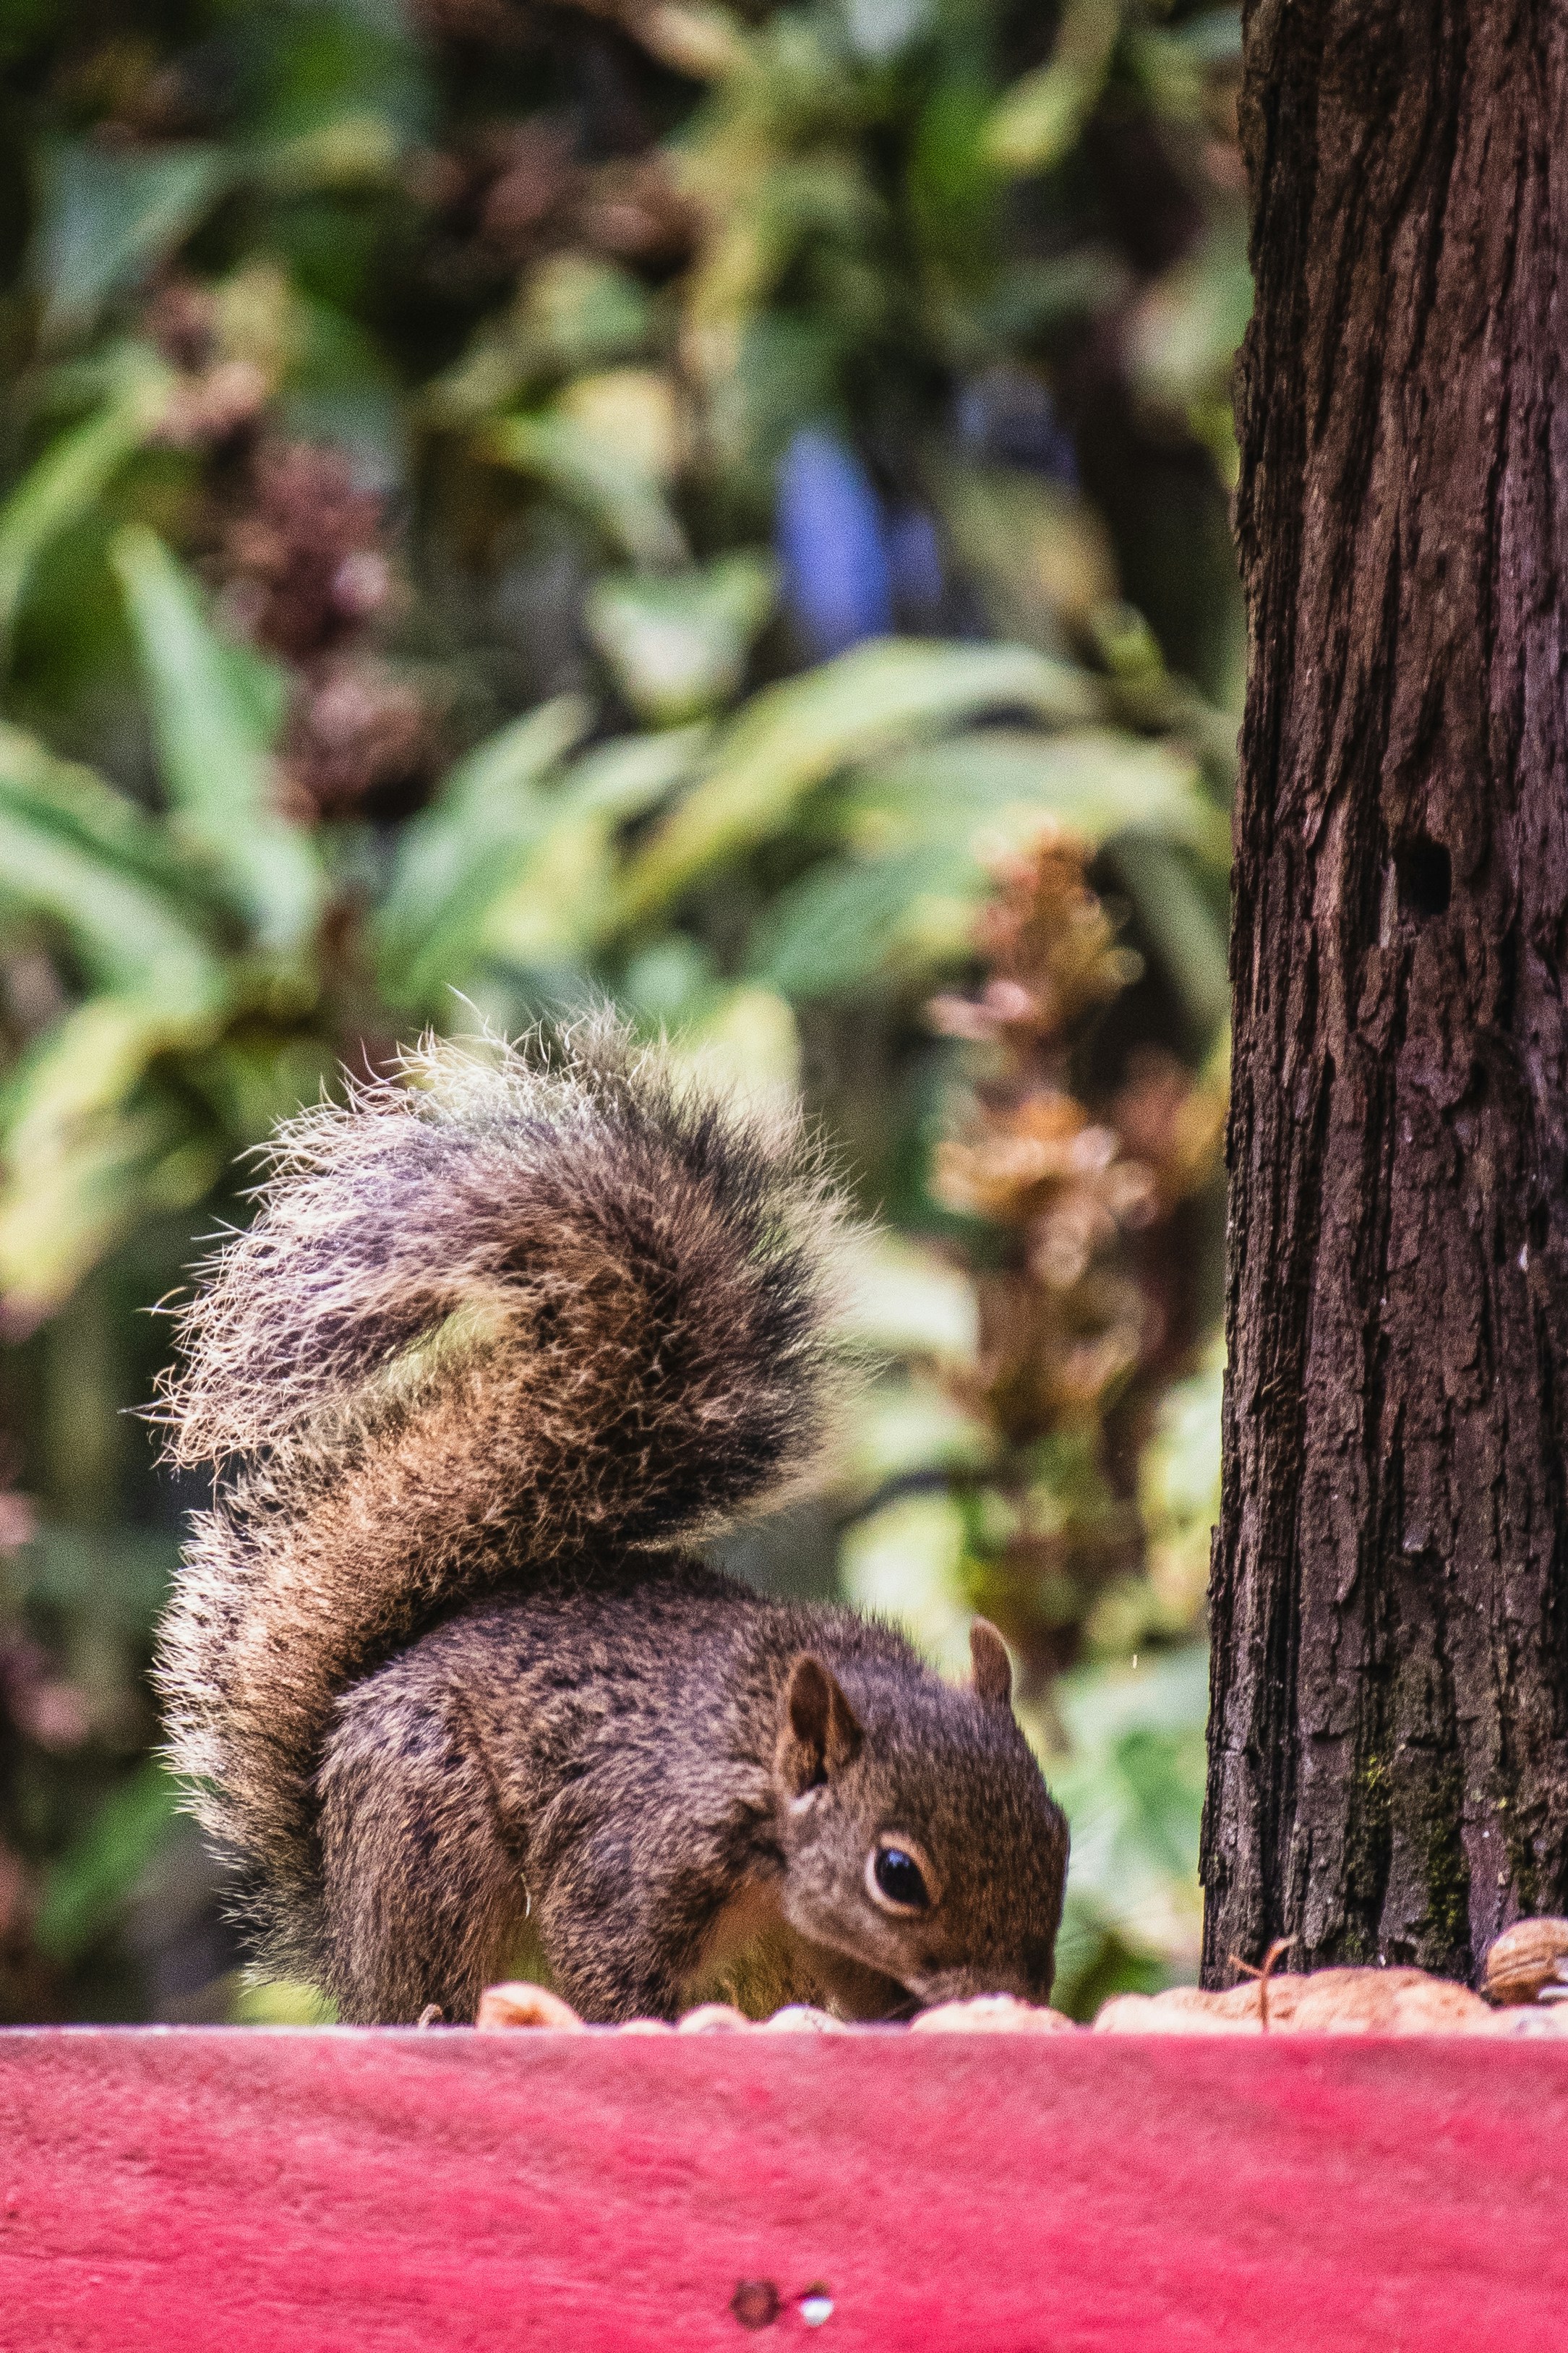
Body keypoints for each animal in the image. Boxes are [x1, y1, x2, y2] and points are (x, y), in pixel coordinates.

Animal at [154, 1021, 1069, 2026]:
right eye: (897, 1873)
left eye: (1059, 1829)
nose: (1019, 1991)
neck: (761, 1776)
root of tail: (345, 1928)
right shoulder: (634, 1853)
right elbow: (607, 1961)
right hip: (430, 1838)